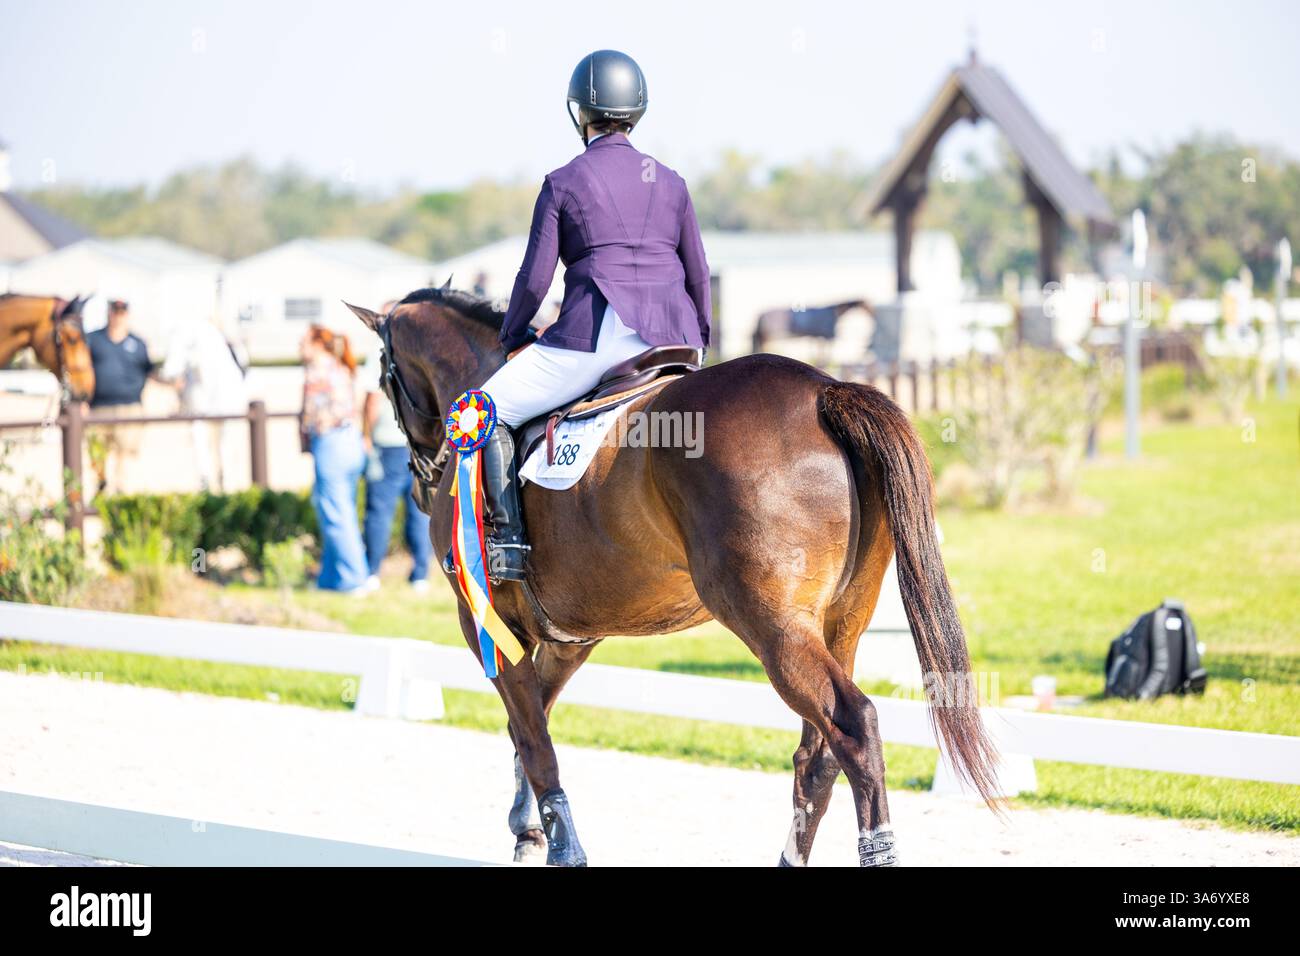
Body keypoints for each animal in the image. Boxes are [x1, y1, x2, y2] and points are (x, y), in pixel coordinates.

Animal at [346, 288, 999, 867]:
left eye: (382, 378)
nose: (419, 482)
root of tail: (824, 391)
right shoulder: (569, 636)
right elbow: (529, 725)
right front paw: (528, 831)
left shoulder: (482, 619)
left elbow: (534, 739)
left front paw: (558, 846)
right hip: (842, 623)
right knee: (818, 757)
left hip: (775, 628)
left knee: (854, 727)